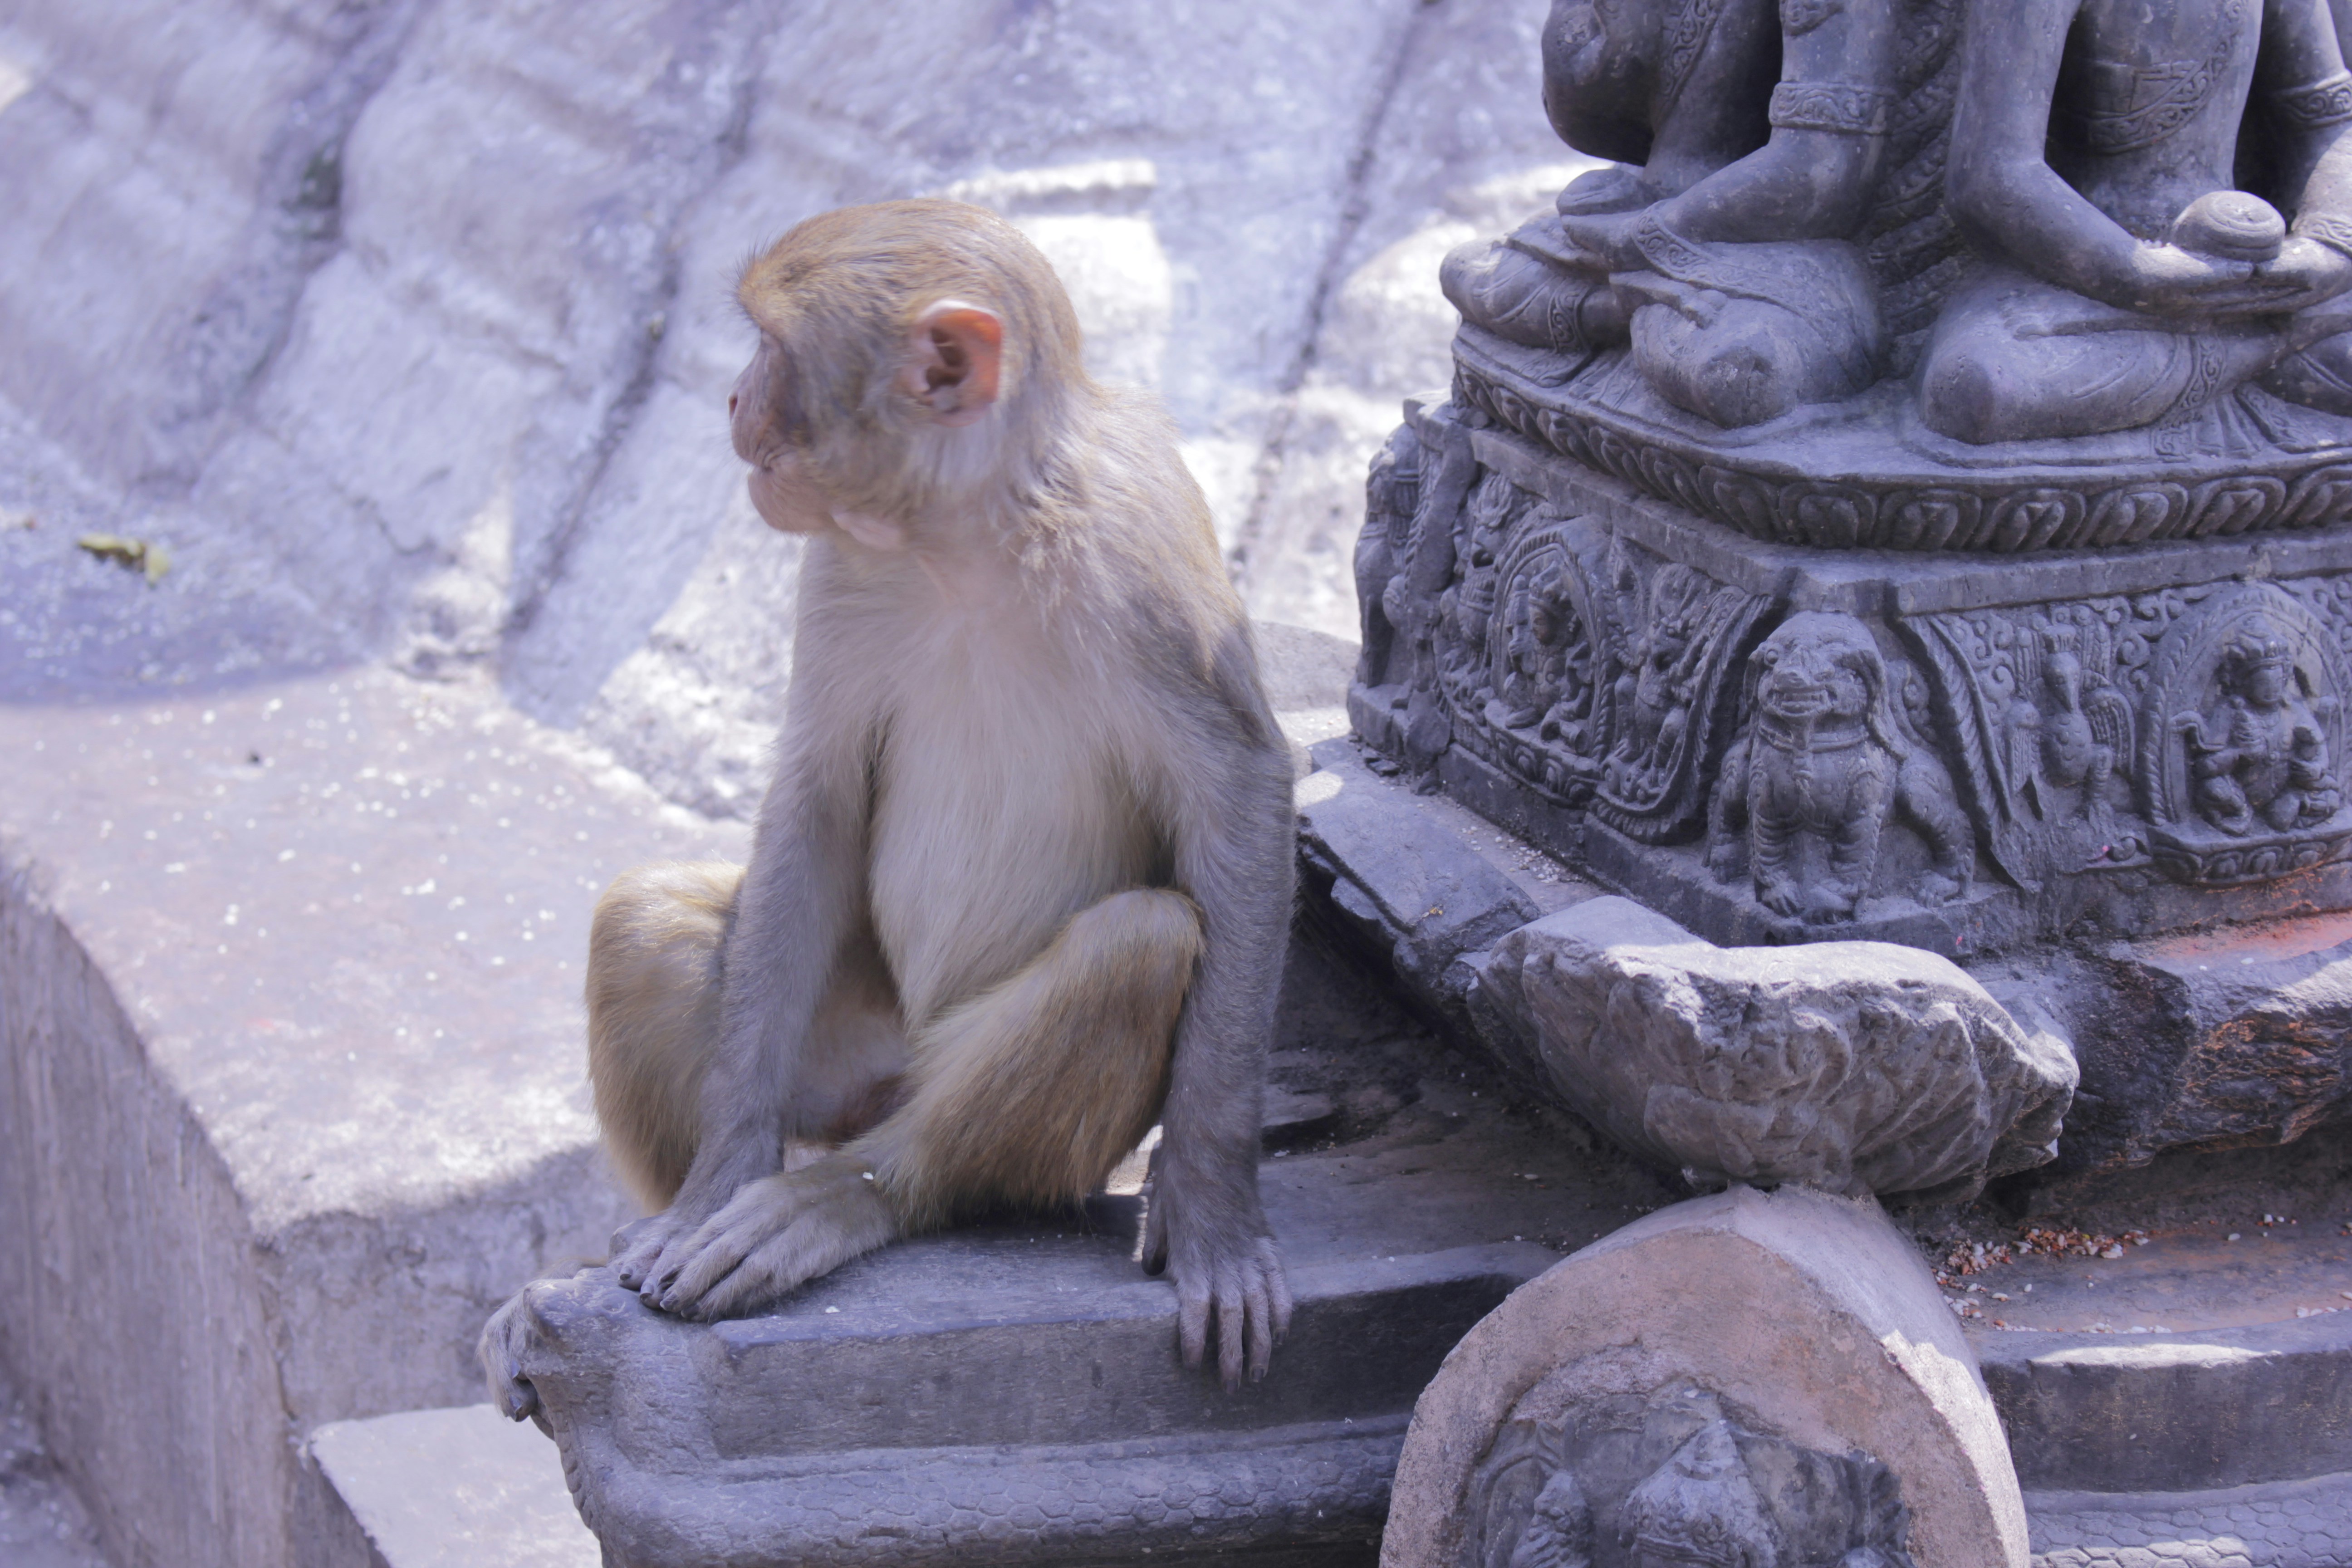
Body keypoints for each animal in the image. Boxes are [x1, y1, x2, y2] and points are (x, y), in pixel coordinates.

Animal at [482, 199, 1297, 1405]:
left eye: (771, 346)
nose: (732, 400)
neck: (974, 535)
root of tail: (888, 1087)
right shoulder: (836, 573)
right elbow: (815, 802)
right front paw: (711, 1186)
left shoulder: (1146, 562)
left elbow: (1241, 796)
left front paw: (1209, 1206)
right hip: (841, 1046)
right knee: (643, 912)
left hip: (991, 1107)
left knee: (1140, 942)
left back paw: (858, 1196)